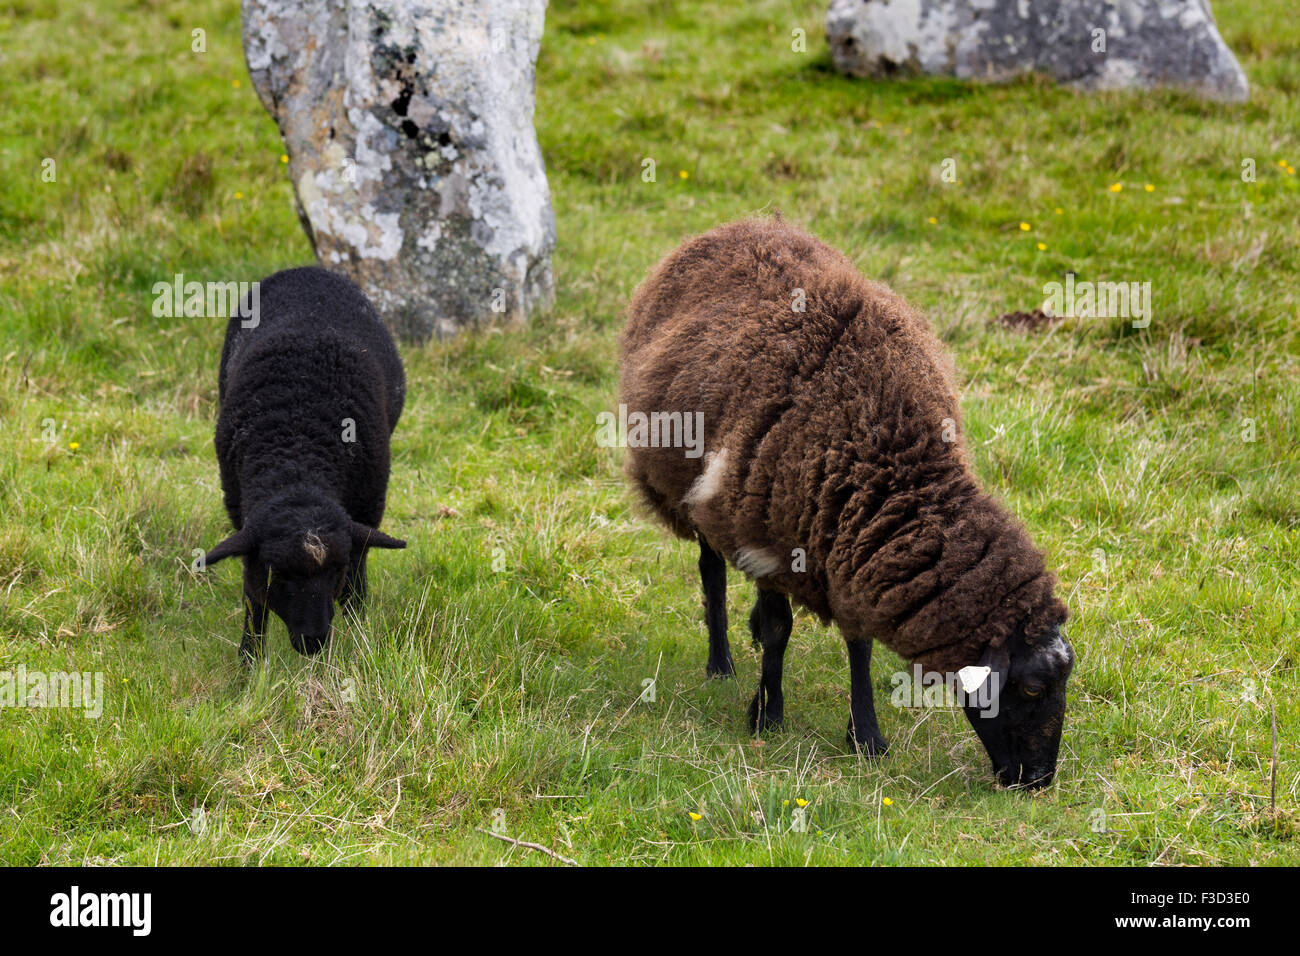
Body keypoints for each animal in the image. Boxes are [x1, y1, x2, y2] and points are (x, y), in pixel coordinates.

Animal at [204, 266, 406, 661]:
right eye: (280, 574)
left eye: (335, 570)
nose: (313, 641)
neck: (298, 459)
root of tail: (308, 270)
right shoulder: (243, 516)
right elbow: (254, 595)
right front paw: (249, 660)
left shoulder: (366, 511)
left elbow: (355, 581)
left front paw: (359, 637)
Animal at [619, 218, 1075, 789]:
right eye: (1033, 687)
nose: (1038, 780)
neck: (890, 464)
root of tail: (744, 223)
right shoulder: (767, 538)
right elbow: (780, 629)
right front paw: (767, 713)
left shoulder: (852, 548)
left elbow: (858, 645)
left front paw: (867, 736)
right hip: (699, 498)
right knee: (711, 569)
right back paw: (720, 662)